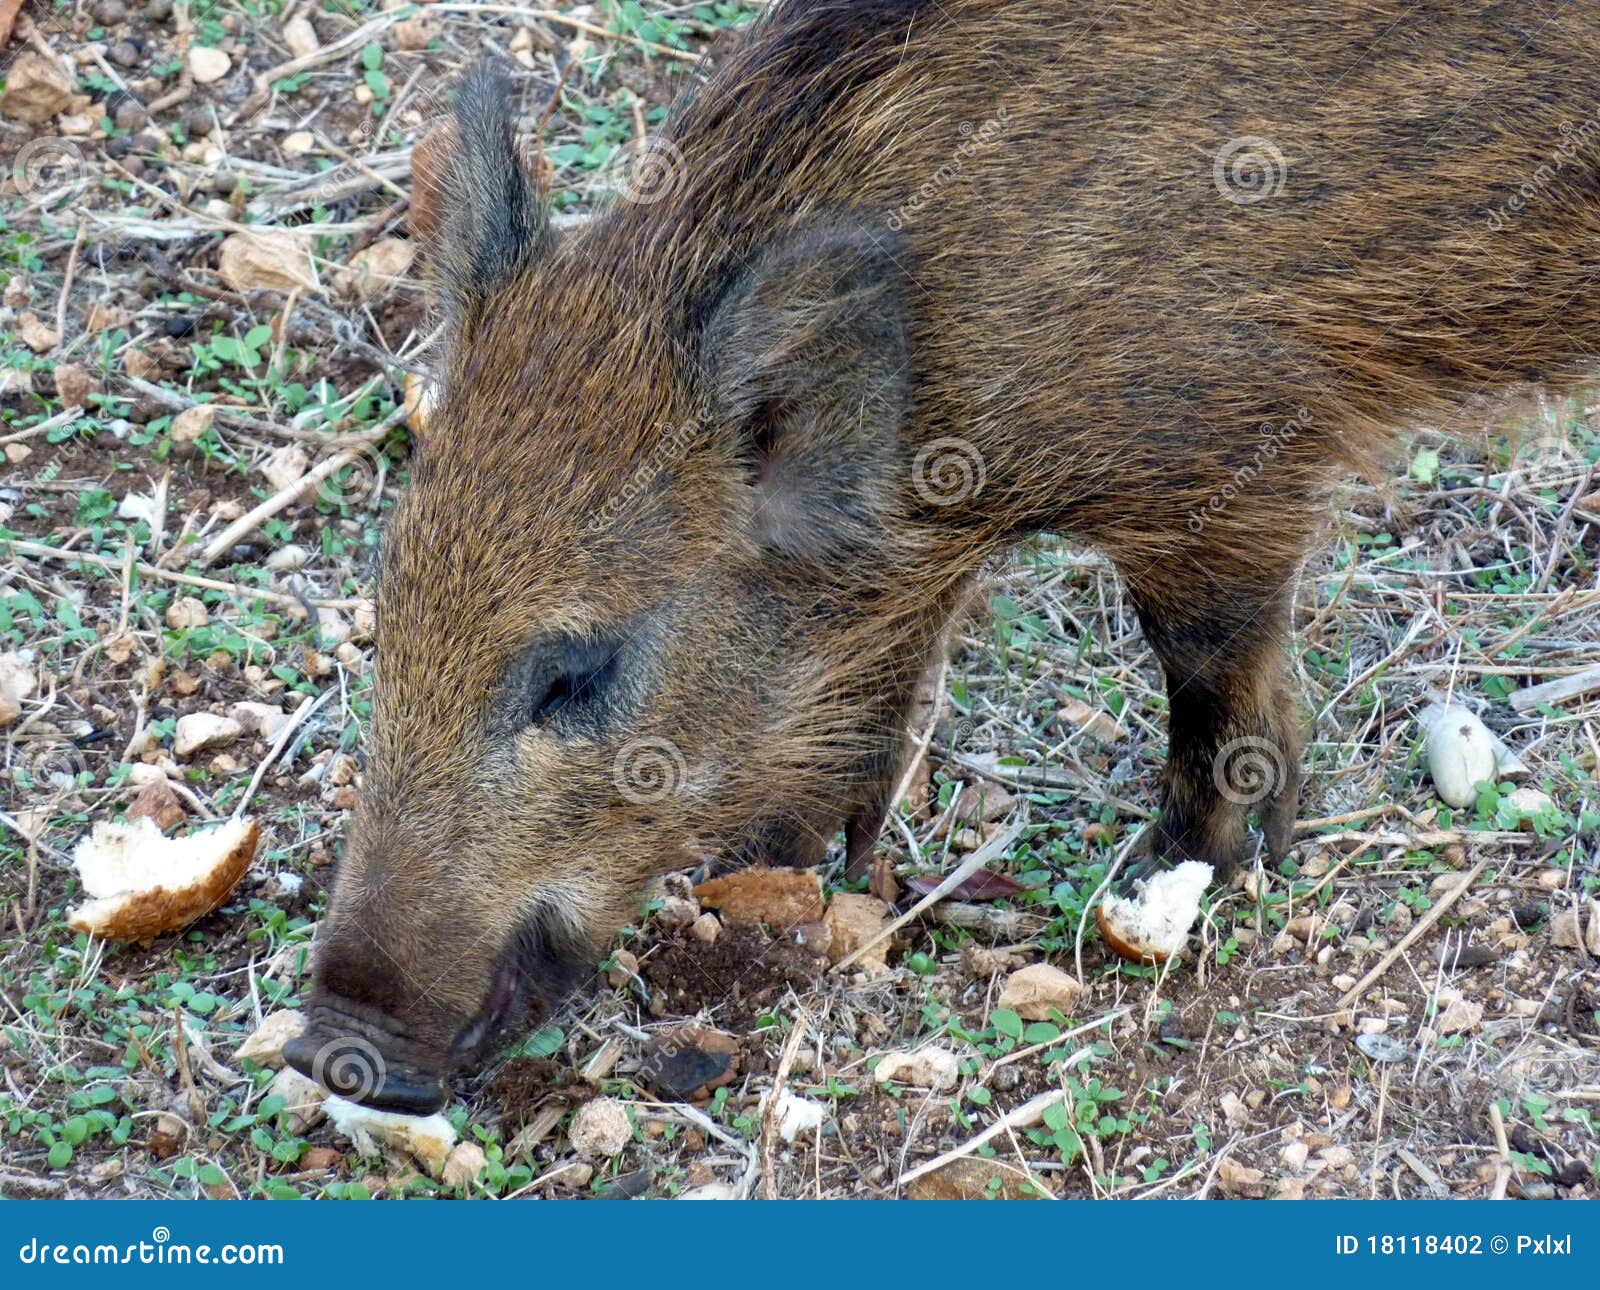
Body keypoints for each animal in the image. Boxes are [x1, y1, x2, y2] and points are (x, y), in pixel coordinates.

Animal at [285, 0, 1600, 1110]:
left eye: (576, 674)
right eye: (390, 603)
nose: (330, 1048)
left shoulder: (1227, 462)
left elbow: (1212, 670)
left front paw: (1181, 875)